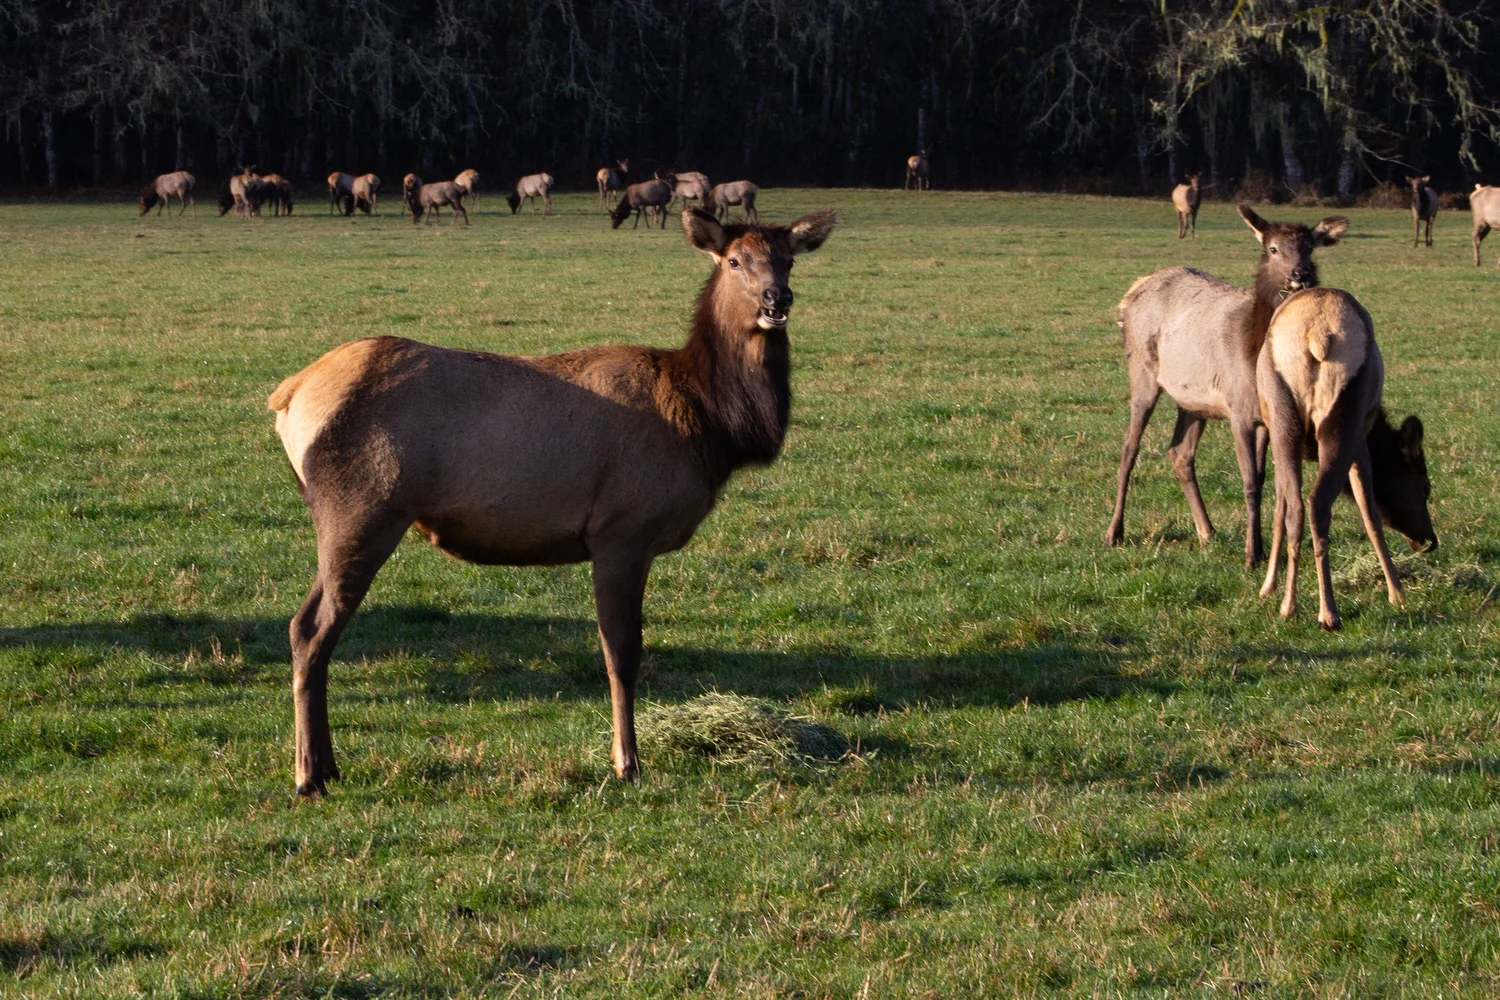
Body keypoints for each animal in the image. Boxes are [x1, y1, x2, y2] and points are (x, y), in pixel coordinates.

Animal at [266, 206, 837, 794]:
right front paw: (626, 762)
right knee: (309, 629)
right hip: (363, 508)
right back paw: (308, 775)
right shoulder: (622, 530)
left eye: (789, 259)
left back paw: (327, 765)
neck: (709, 424)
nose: (776, 300)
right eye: (734, 259)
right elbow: (621, 651)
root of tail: (288, 395)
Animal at [1107, 205, 1349, 567]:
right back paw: (1114, 532)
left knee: (1179, 451)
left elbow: (1263, 479)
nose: (1300, 273)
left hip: (1193, 400)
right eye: (1273, 248)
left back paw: (1207, 530)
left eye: (1309, 247)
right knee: (1129, 446)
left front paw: (1262, 549)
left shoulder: (1265, 417)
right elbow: (1249, 482)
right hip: (1142, 371)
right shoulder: (1239, 409)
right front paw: (1252, 554)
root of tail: (1132, 293)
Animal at [1257, 288, 1437, 629]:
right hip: (1345, 416)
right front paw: (1397, 592)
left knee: (1297, 506)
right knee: (1318, 502)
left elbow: (1278, 509)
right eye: (1425, 486)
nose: (1430, 540)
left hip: (1283, 415)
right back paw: (1329, 612)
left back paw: (1289, 605)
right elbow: (1371, 514)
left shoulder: (1274, 436)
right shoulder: (1361, 444)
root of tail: (1317, 335)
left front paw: (1267, 586)